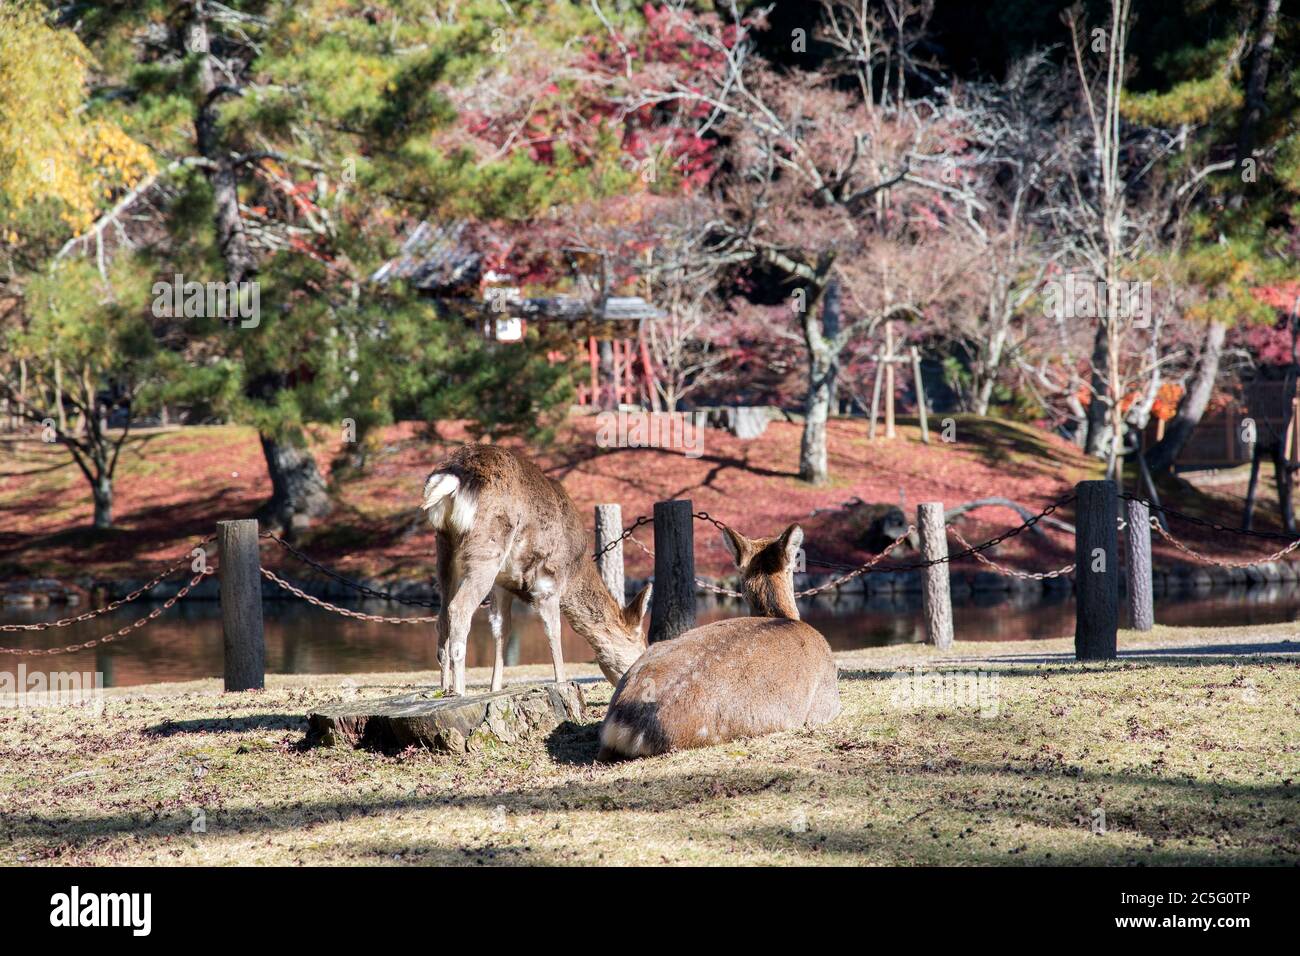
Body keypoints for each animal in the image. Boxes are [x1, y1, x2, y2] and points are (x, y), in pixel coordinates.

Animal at [421, 444, 652, 696]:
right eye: (643, 648)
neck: (574, 571)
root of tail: (452, 478)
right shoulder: (549, 580)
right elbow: (554, 630)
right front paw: (562, 683)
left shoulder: (502, 584)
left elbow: (502, 629)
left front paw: (494, 688)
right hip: (486, 548)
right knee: (459, 609)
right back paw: (459, 690)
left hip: (444, 548)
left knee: (442, 617)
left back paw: (444, 690)